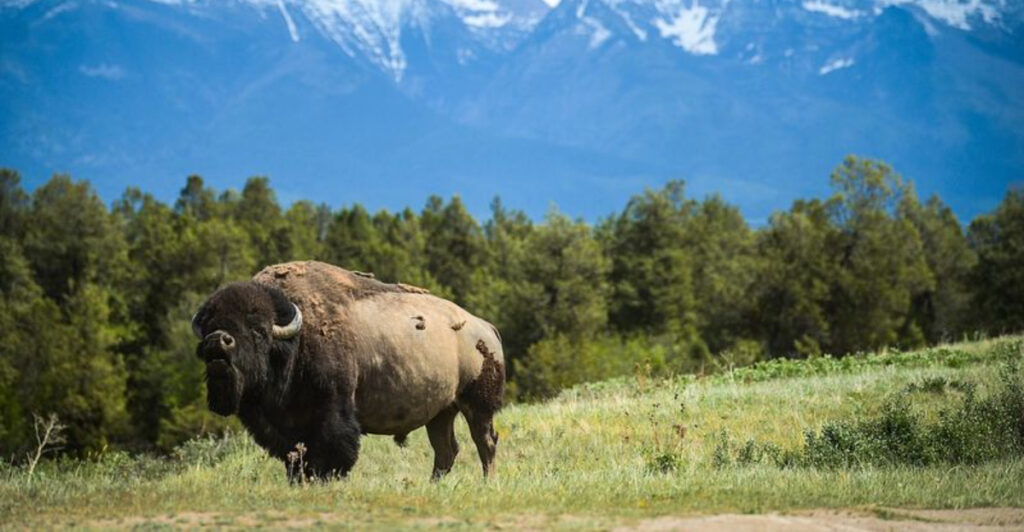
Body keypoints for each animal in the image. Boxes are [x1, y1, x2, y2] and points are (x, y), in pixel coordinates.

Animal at [191, 261, 504, 481]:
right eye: (208, 325)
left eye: (257, 330)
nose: (217, 340)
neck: (296, 339)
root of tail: (485, 327)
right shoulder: (287, 430)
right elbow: (296, 459)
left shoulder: (332, 414)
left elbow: (332, 455)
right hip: (441, 412)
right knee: (446, 450)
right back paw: (434, 485)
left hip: (478, 405)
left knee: (485, 442)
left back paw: (487, 482)